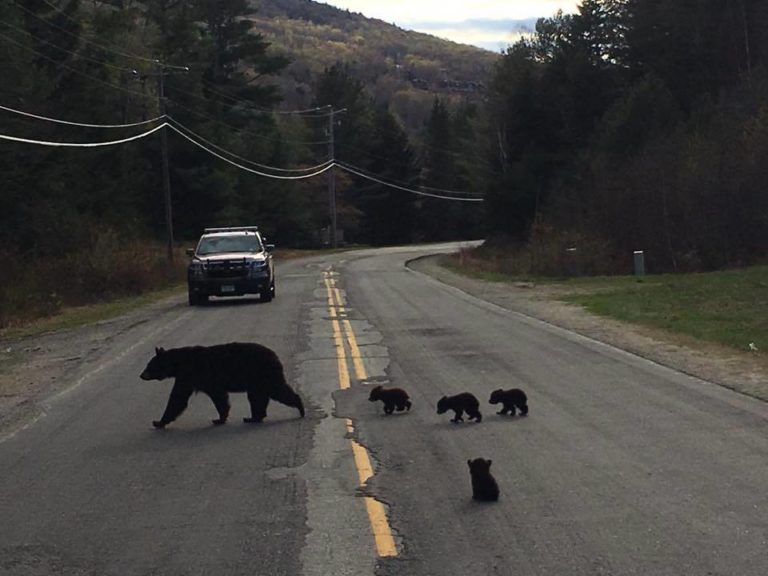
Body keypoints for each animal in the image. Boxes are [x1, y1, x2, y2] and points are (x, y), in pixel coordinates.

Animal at [139, 342, 305, 428]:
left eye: (149, 365)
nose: (141, 375)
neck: (178, 363)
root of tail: (275, 355)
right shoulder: (192, 378)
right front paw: (221, 417)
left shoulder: (191, 375)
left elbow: (178, 397)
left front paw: (158, 422)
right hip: (258, 380)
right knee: (258, 397)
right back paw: (254, 417)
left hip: (264, 373)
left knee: (277, 390)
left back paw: (300, 407)